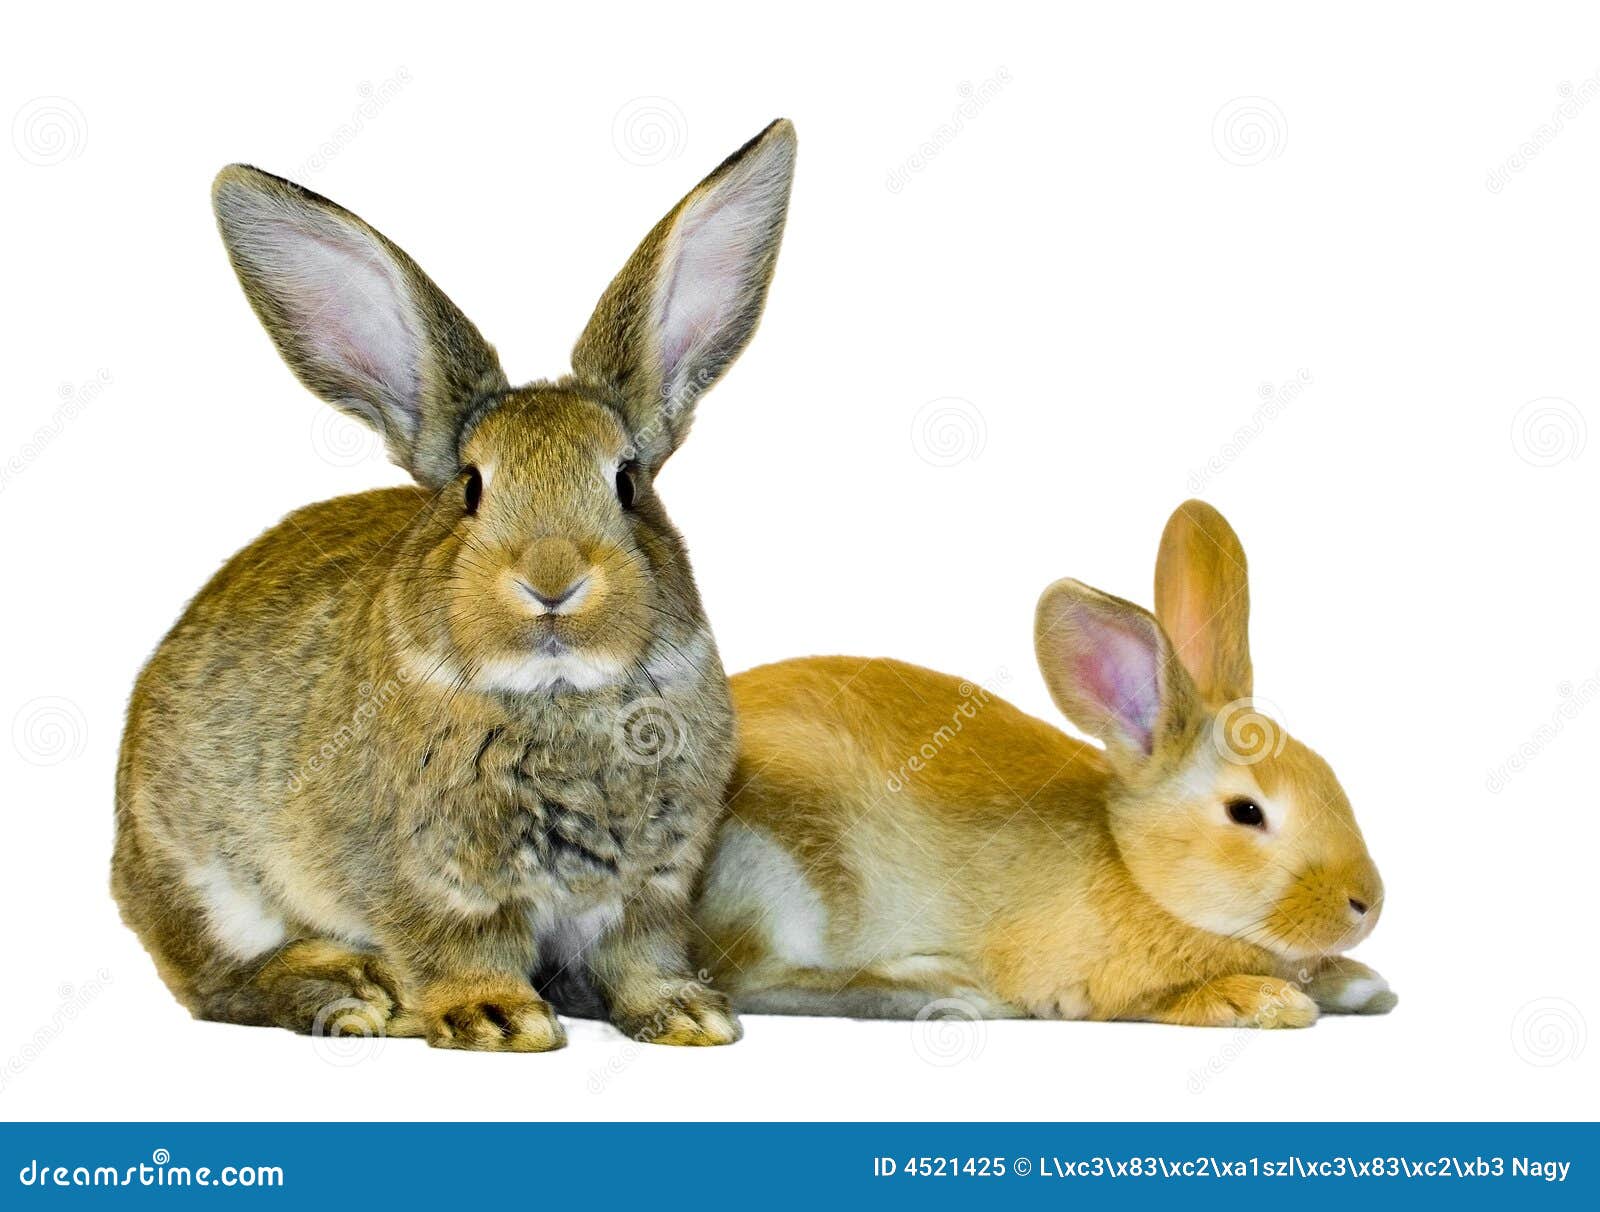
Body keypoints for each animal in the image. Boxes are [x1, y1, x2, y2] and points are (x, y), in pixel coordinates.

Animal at [111, 119, 797, 1051]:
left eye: (627, 482)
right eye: (471, 487)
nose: (552, 580)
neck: (557, 698)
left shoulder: (648, 893)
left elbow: (638, 958)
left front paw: (689, 1017)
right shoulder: (429, 885)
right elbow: (456, 948)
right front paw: (499, 1020)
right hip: (207, 881)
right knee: (218, 983)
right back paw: (352, 995)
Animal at [696, 500, 1395, 1027]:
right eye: (1246, 812)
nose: (1367, 903)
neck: (1135, 869)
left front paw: (1364, 985)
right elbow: (1165, 999)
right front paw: (1263, 1001)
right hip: (787, 867)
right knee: (752, 978)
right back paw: (944, 990)